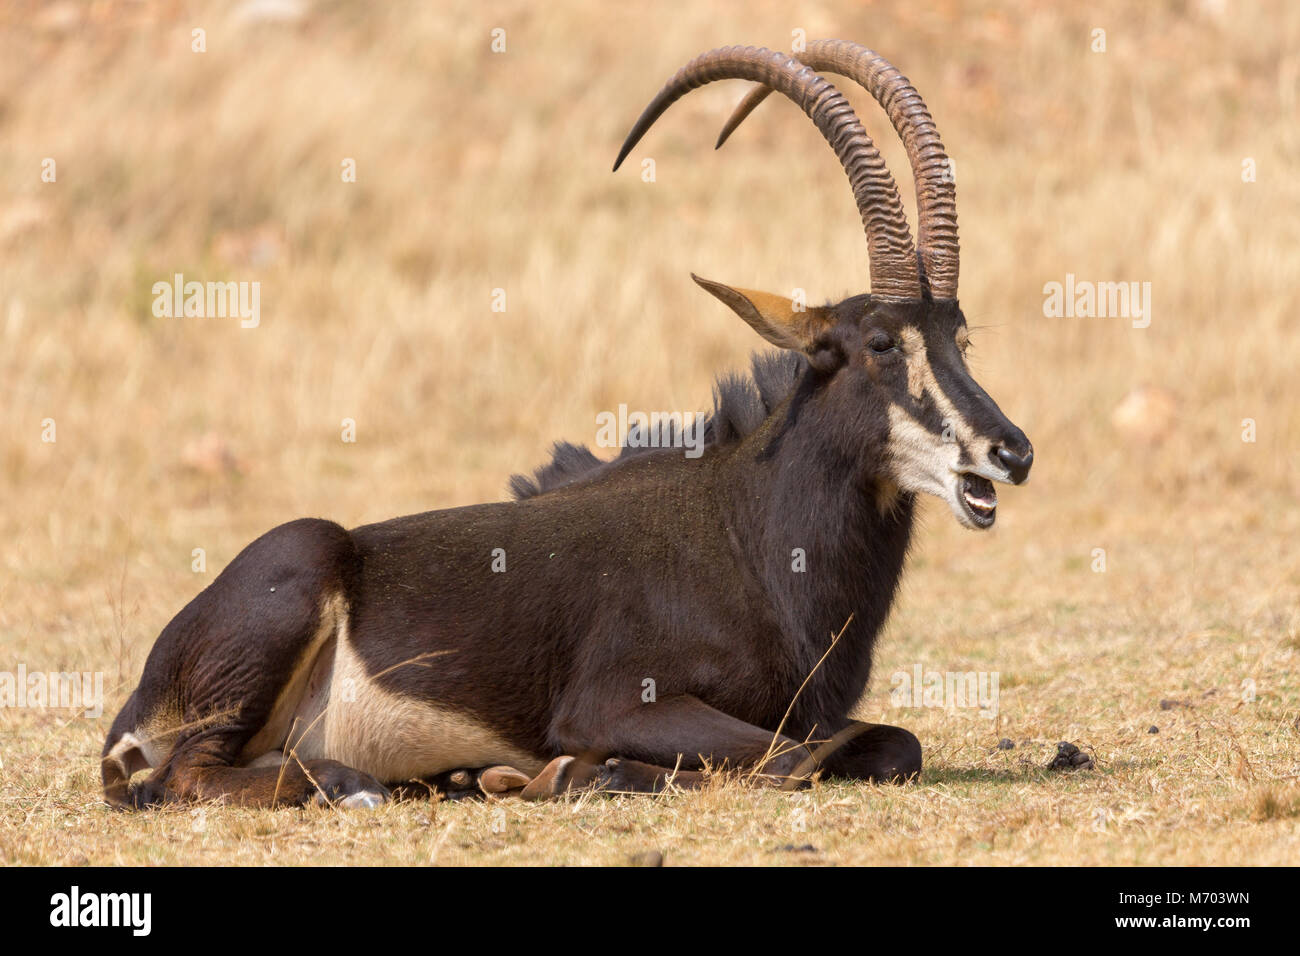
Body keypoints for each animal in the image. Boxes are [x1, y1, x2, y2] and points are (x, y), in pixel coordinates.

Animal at [102, 40, 1033, 808]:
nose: (1010, 452)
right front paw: (574, 772)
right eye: (879, 342)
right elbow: (791, 755)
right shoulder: (613, 703)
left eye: (959, 335)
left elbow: (890, 744)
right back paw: (357, 782)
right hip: (290, 583)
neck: (752, 537)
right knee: (184, 777)